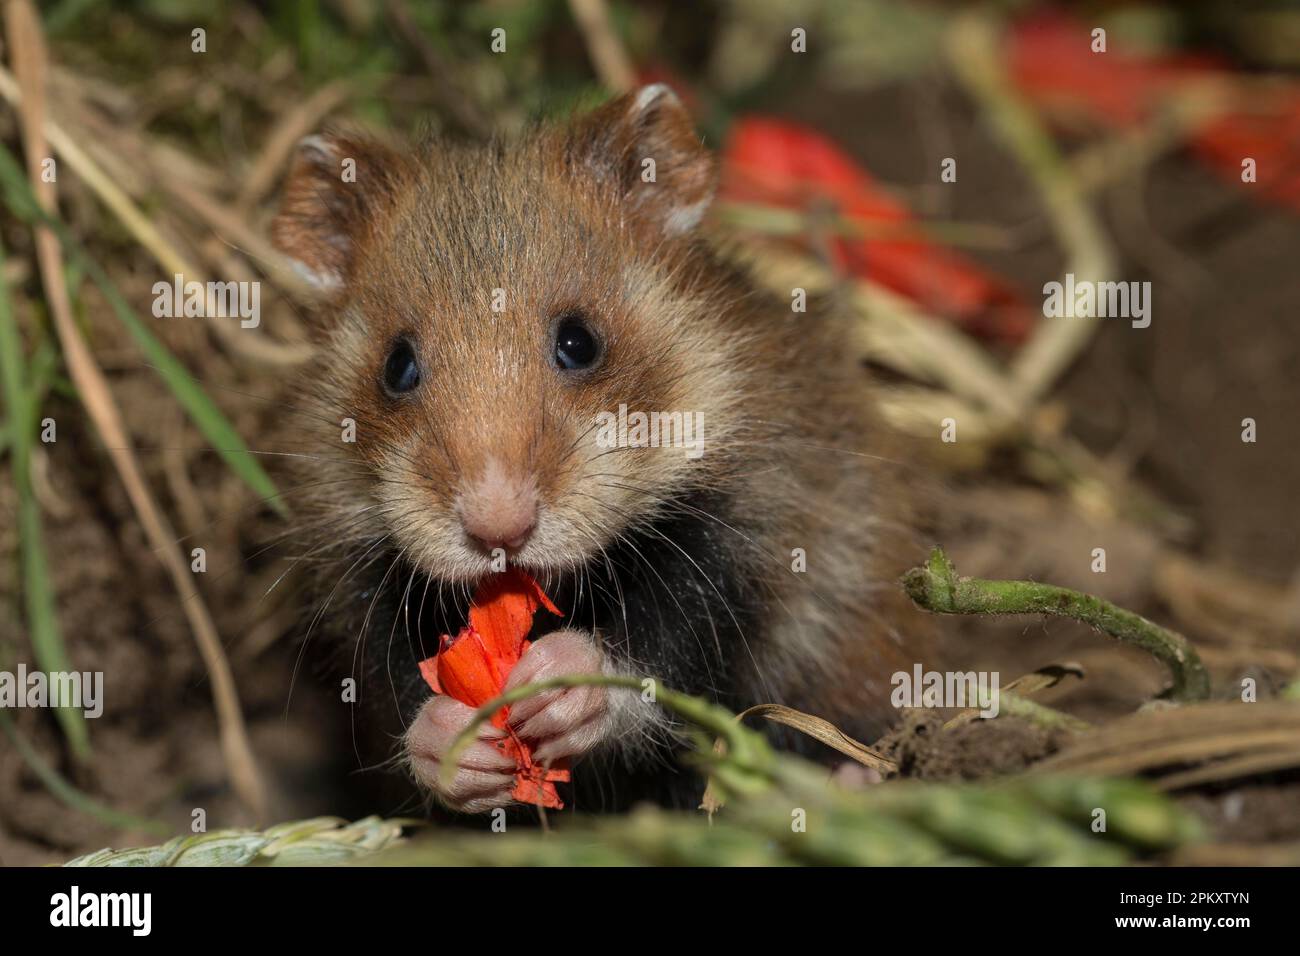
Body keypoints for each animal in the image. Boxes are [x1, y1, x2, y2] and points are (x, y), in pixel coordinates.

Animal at [271, 84, 928, 813]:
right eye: (397, 366)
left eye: (580, 341)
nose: (499, 529)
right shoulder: (358, 571)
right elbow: (403, 696)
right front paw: (454, 747)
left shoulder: (741, 537)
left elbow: (666, 661)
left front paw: (559, 688)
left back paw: (856, 777)